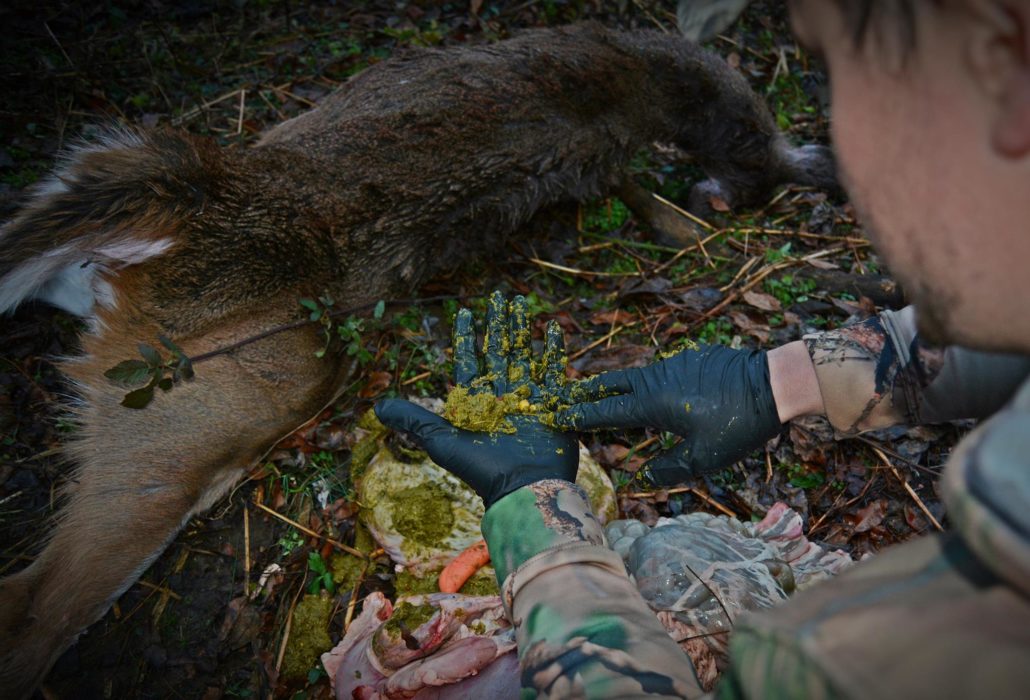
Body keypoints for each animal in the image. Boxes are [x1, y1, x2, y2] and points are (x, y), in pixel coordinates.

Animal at [0, 21, 836, 697]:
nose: (737, 195)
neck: (616, 78)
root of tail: (201, 190)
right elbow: (629, 189)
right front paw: (673, 221)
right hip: (212, 411)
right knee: (36, 608)